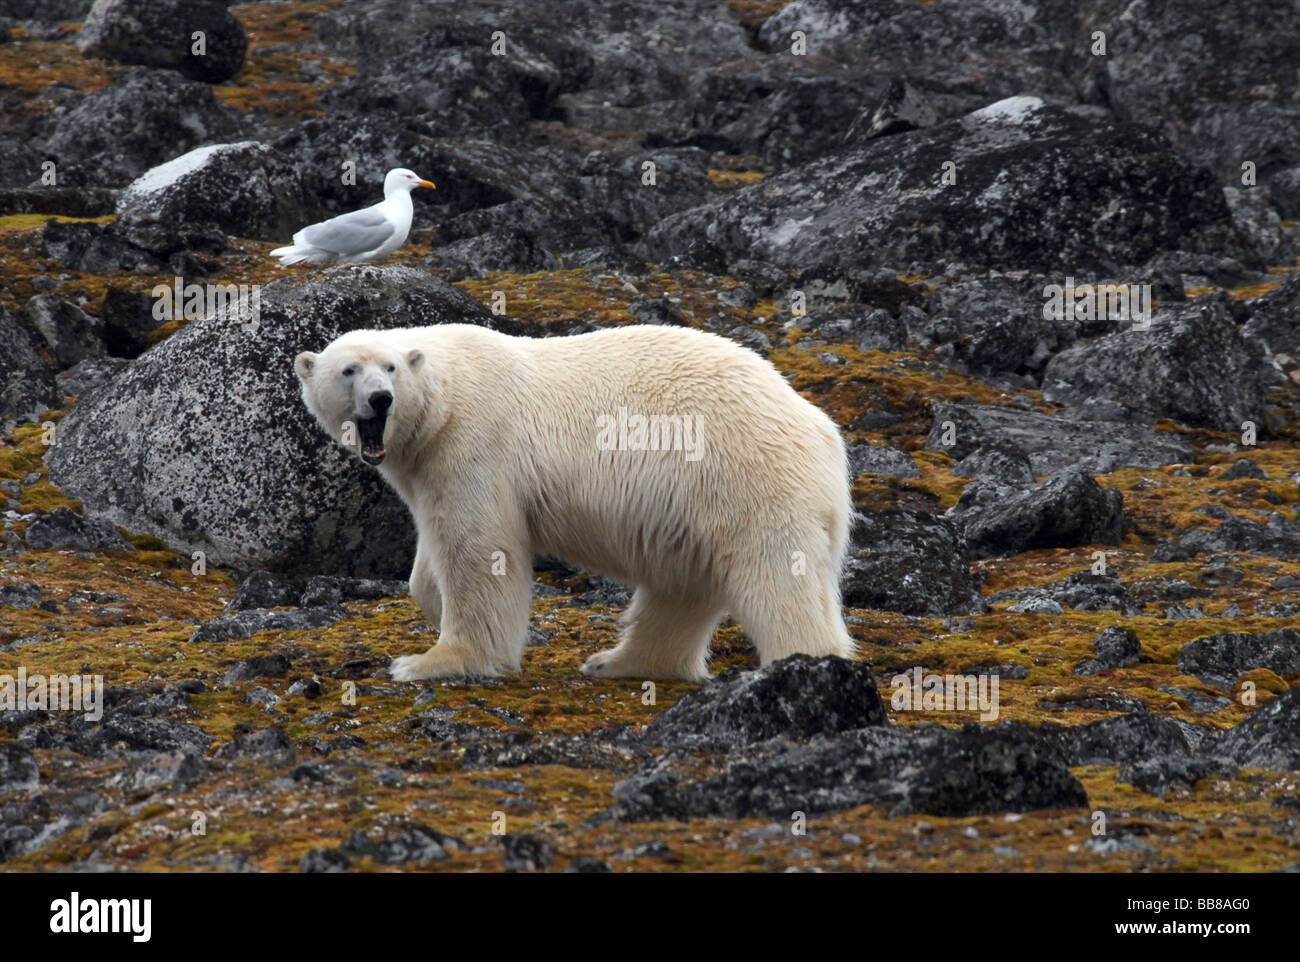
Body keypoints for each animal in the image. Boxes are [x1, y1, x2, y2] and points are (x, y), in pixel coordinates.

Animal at [295, 323, 854, 682]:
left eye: (390, 367)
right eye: (348, 370)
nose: (381, 398)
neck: (445, 396)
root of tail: (821, 429)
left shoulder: (474, 442)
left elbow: (479, 550)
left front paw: (432, 662)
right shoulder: (426, 466)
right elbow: (436, 551)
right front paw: (433, 603)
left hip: (747, 476)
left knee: (776, 575)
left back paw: (806, 661)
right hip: (697, 503)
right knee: (682, 585)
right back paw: (619, 662)